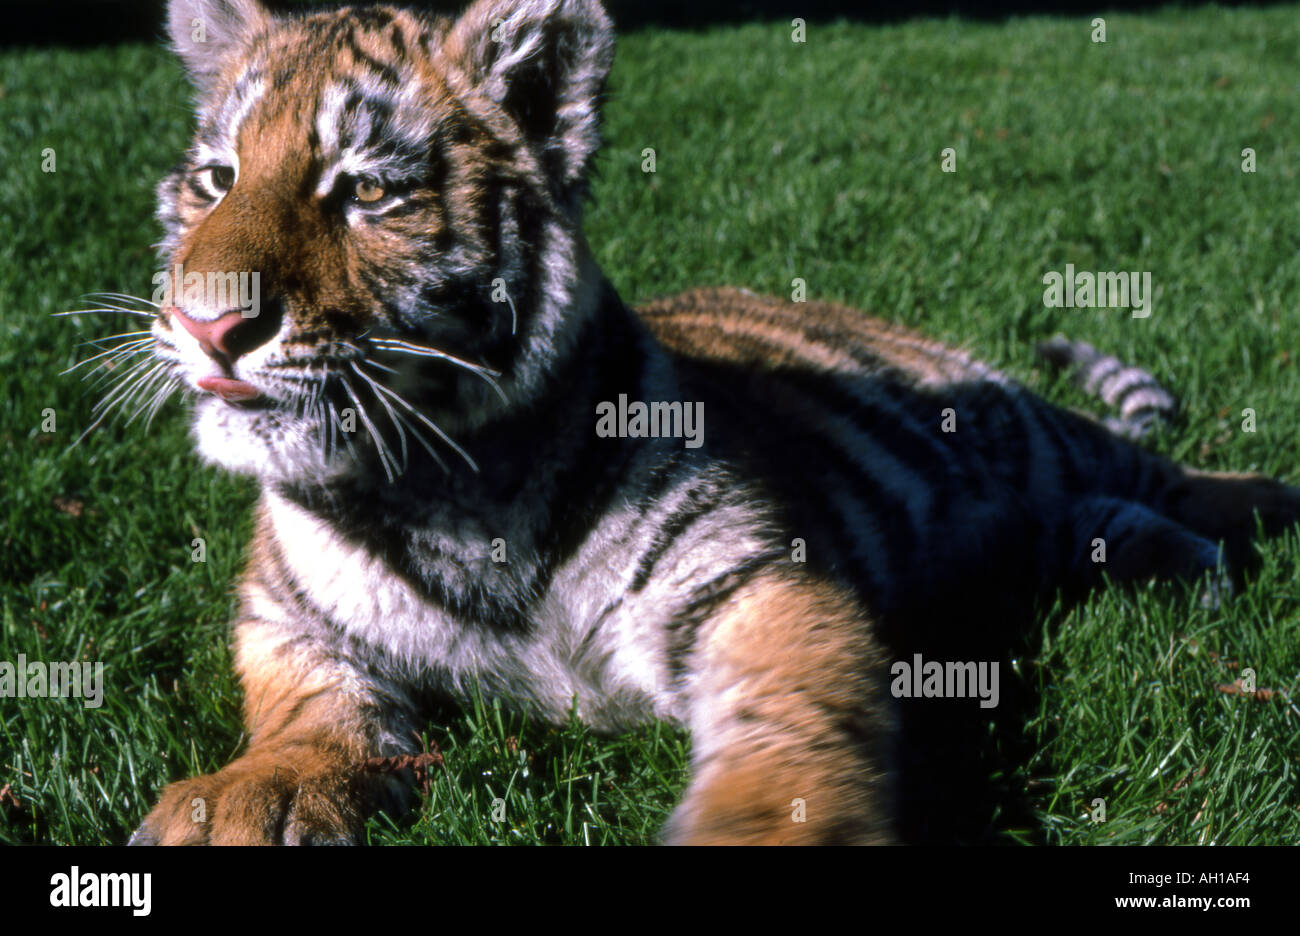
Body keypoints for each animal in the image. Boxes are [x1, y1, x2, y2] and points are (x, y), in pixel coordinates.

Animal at [116, 0, 1300, 845]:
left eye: (364, 192)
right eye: (217, 178)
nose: (209, 323)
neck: (444, 485)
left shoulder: (749, 582)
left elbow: (790, 732)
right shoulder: (286, 617)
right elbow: (304, 708)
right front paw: (249, 798)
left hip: (1023, 428)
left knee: (1158, 471)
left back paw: (1248, 517)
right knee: (1088, 519)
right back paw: (1181, 571)